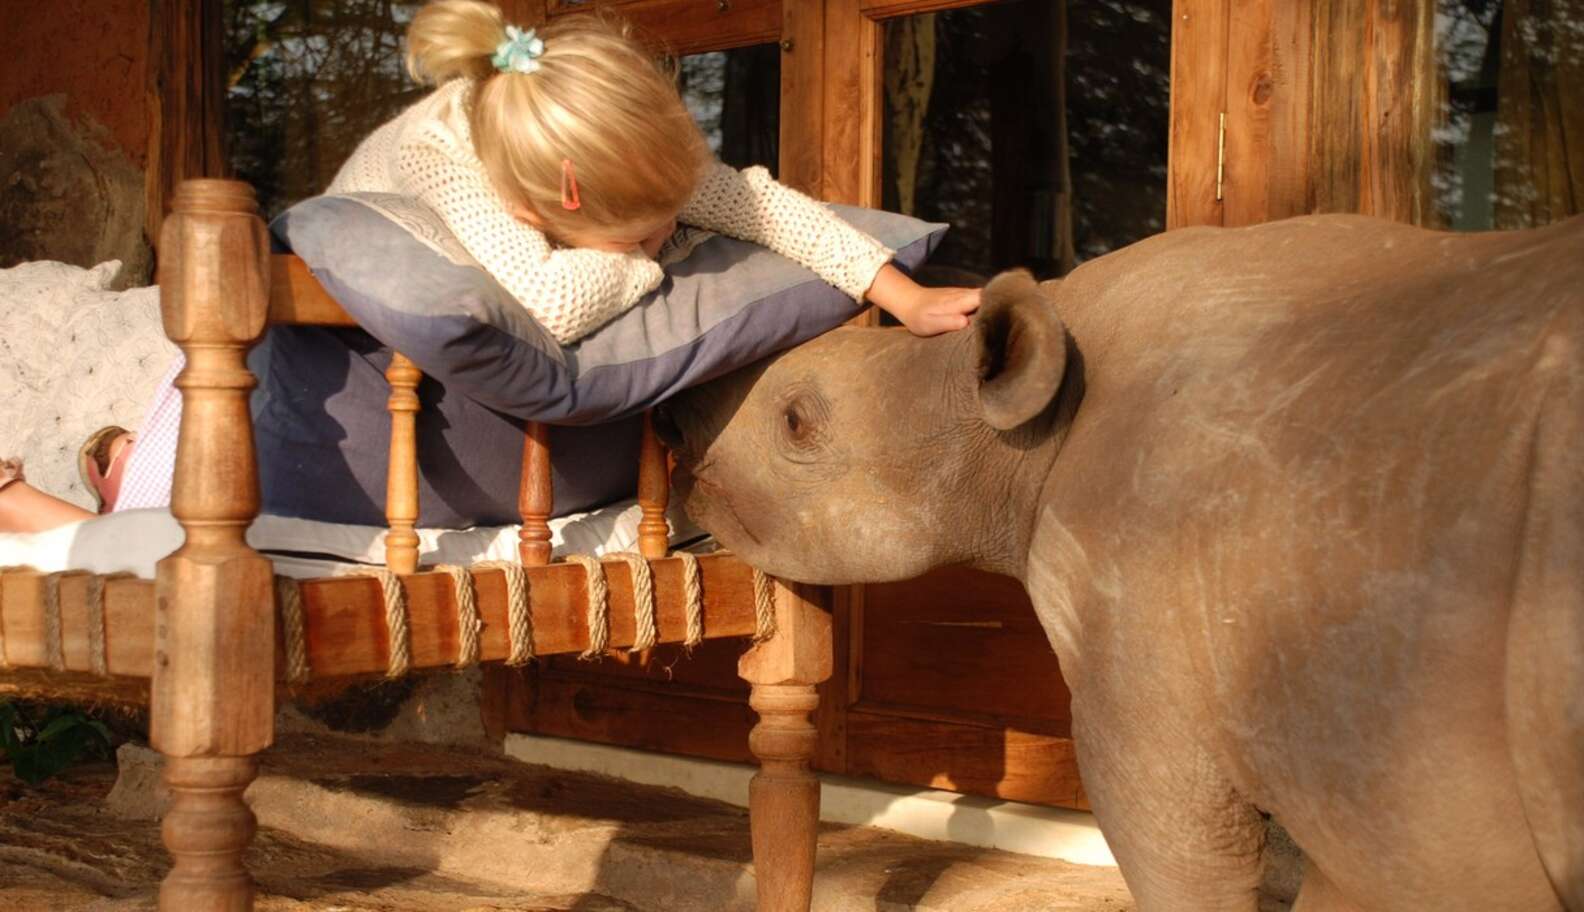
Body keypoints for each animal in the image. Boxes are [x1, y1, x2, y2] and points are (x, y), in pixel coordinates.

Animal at [655, 214, 1584, 912]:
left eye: (796, 423)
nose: (674, 429)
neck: (1025, 428)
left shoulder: (1149, 656)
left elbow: (1180, 855)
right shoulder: (1370, 781)